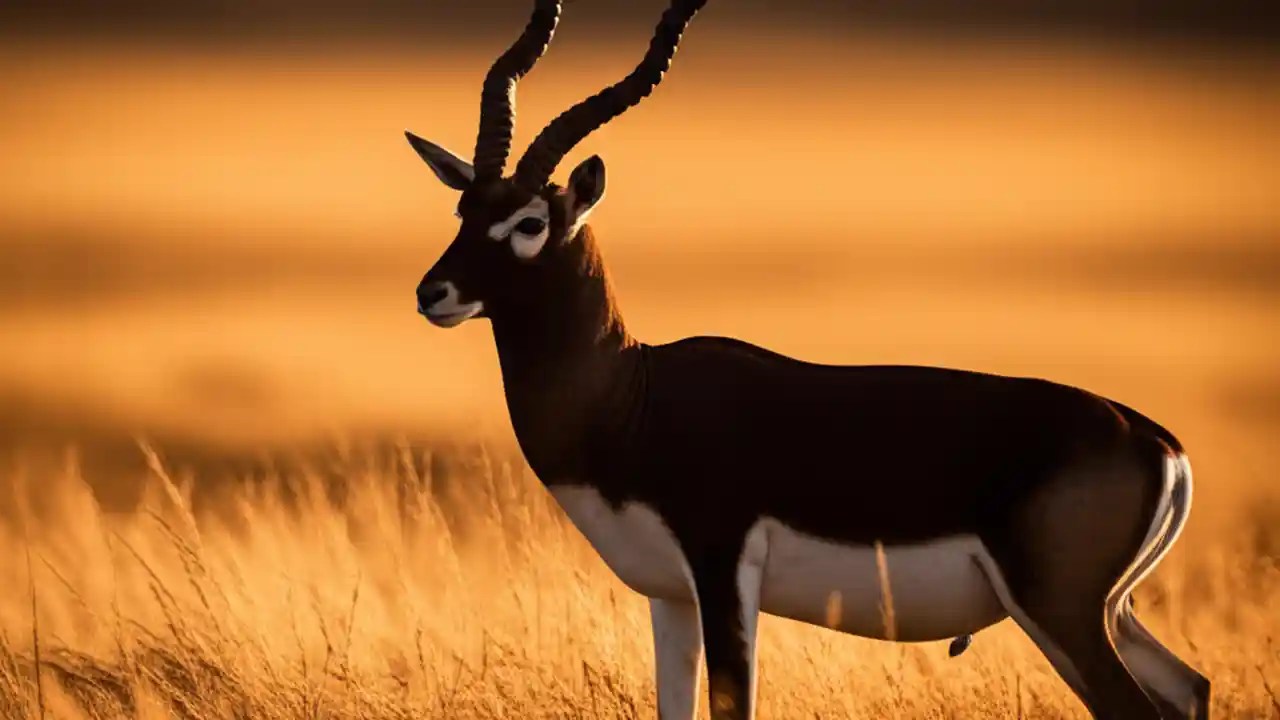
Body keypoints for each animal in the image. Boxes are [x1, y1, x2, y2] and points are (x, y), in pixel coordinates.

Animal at [404, 1, 1211, 717]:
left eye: (529, 222)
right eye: (464, 209)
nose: (432, 292)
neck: (634, 397)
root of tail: (1159, 443)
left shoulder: (723, 570)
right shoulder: (670, 595)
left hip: (1062, 613)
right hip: (1110, 613)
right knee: (1190, 687)